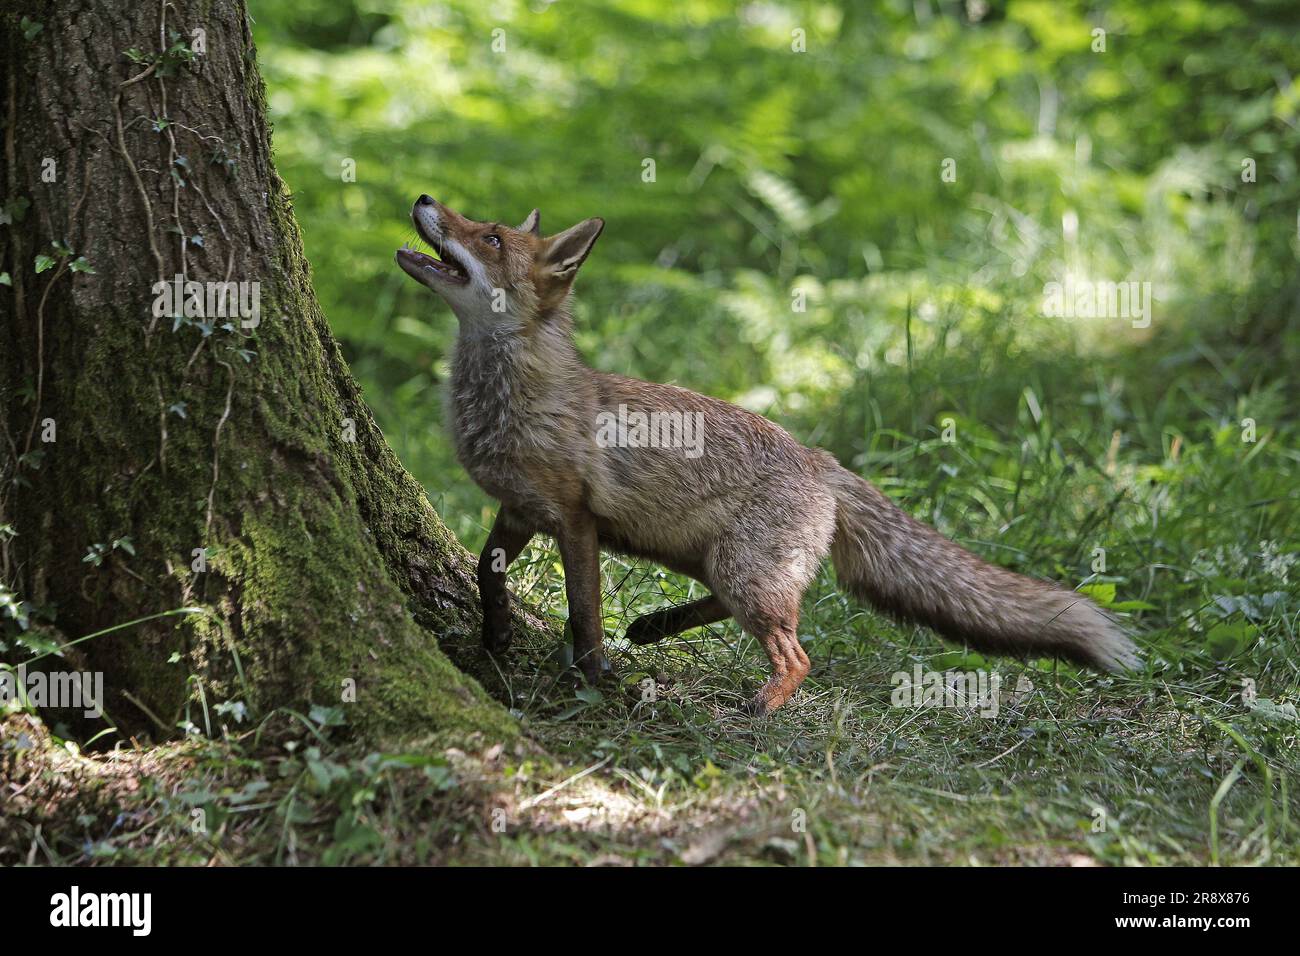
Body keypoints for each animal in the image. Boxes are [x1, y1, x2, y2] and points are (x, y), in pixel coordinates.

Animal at [396, 193, 1139, 715]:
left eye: (490, 237)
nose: (424, 198)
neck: (512, 399)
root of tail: (820, 459)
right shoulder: (520, 508)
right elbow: (487, 572)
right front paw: (496, 636)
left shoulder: (574, 520)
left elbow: (585, 615)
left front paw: (591, 680)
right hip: (717, 561)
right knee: (749, 611)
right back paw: (658, 626)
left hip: (742, 569)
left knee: (798, 651)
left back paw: (761, 701)